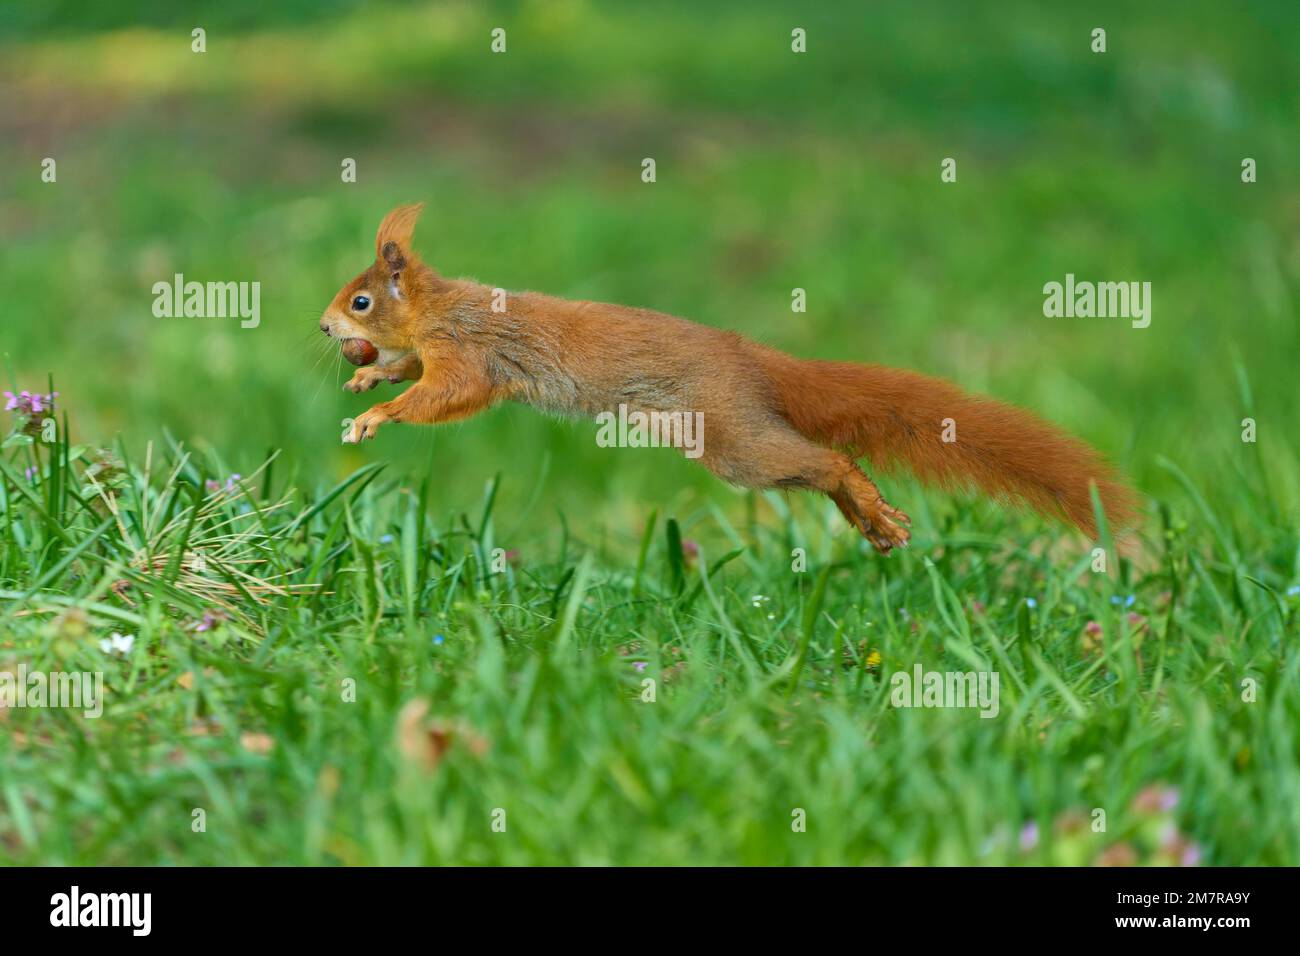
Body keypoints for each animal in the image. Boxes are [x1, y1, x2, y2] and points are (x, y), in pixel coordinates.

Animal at [319, 204, 1136, 553]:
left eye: (360, 300)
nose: (326, 330)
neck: (438, 304)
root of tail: (749, 357)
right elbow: (410, 370)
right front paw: (368, 384)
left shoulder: (470, 350)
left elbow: (446, 394)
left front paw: (375, 417)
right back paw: (867, 518)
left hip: (734, 439)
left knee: (826, 459)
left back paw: (870, 506)